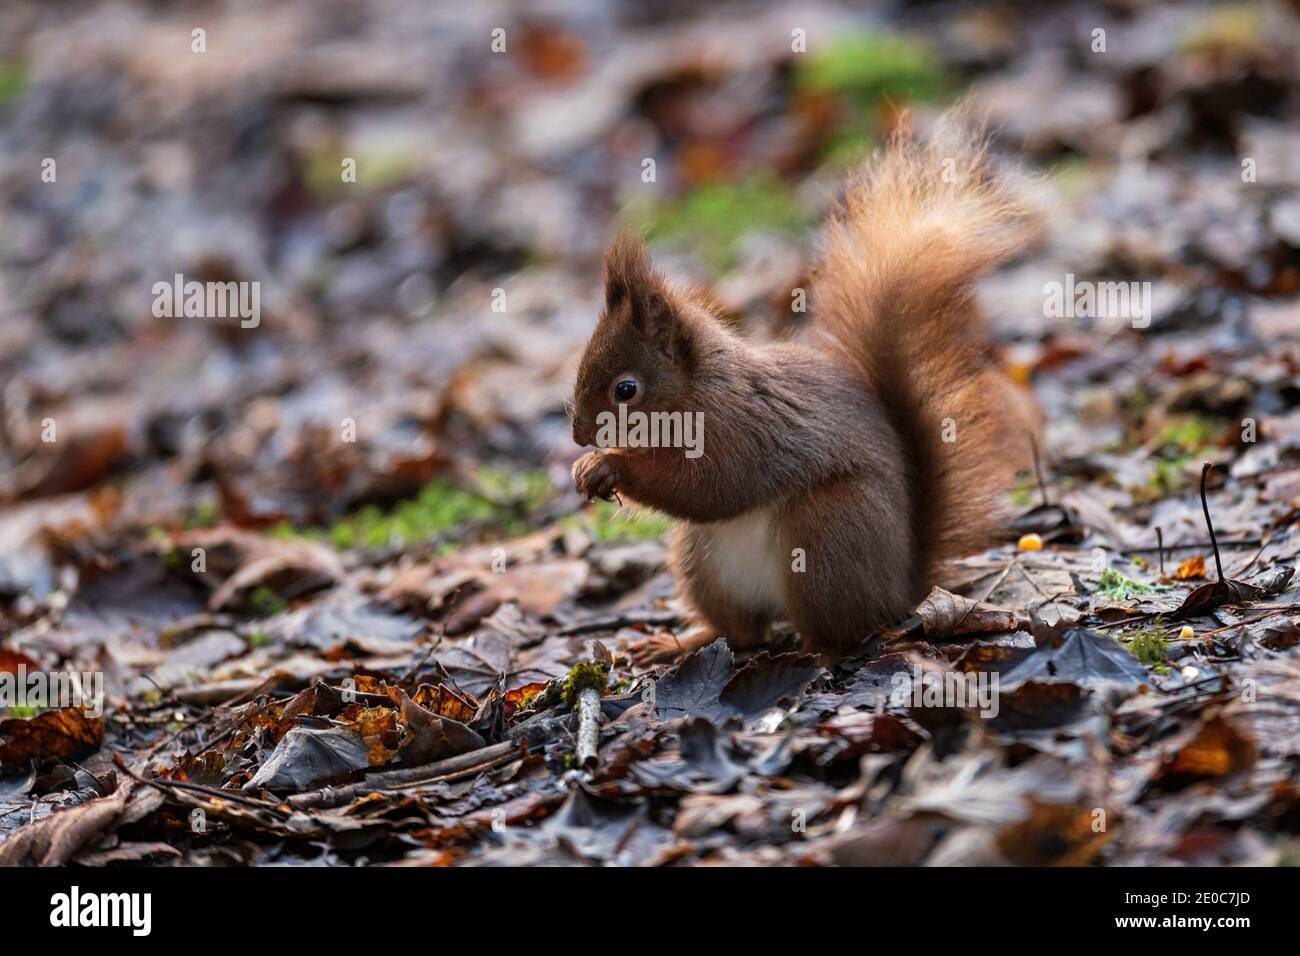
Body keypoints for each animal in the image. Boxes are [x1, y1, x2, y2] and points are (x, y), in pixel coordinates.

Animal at [570, 119, 1044, 664]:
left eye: (626, 389)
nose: (580, 435)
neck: (697, 391)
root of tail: (899, 589)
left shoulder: (743, 430)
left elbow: (711, 486)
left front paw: (611, 467)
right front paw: (585, 468)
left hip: (824, 534)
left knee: (838, 629)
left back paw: (813, 652)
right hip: (701, 561)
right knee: (742, 632)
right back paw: (683, 643)